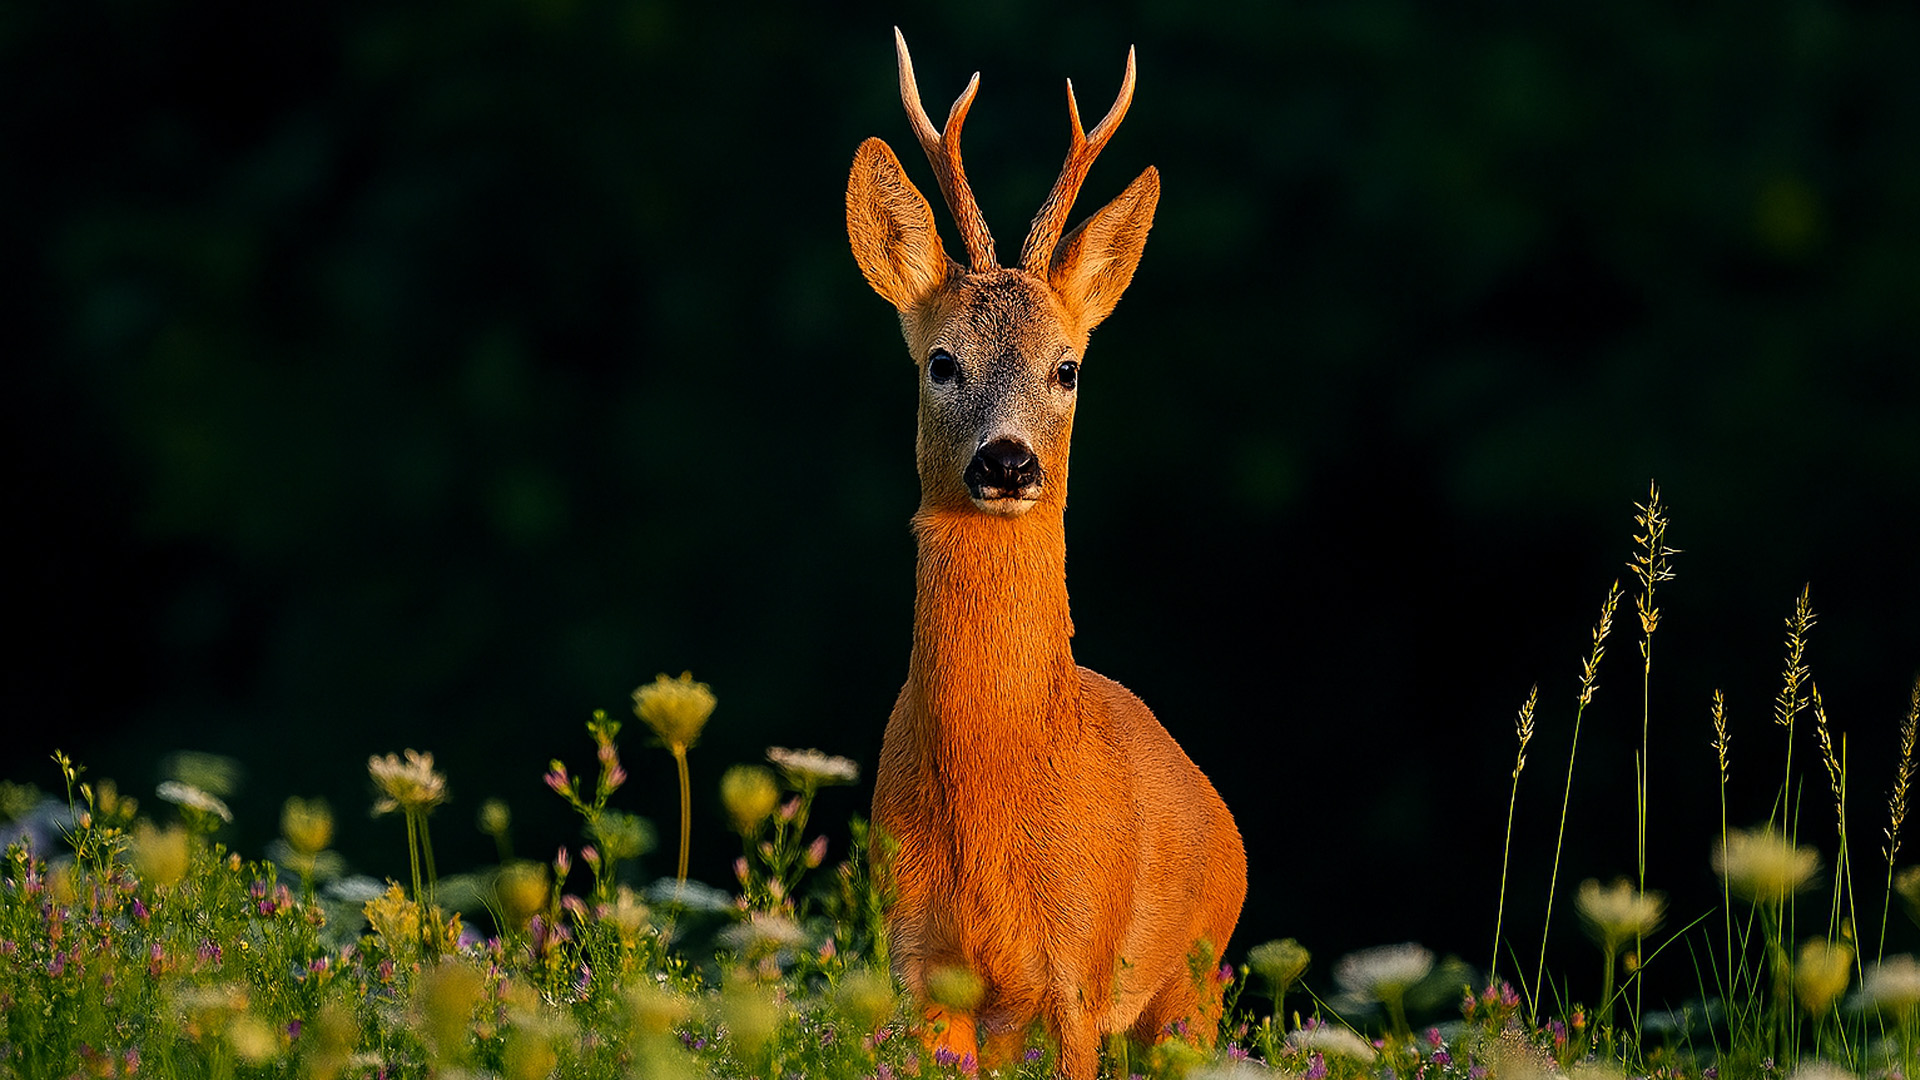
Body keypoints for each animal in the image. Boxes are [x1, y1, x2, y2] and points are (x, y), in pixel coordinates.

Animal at [846, 30, 1248, 1079]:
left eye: (1067, 367)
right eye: (940, 361)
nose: (1007, 460)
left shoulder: (1078, 968)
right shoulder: (916, 961)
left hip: (1192, 984)